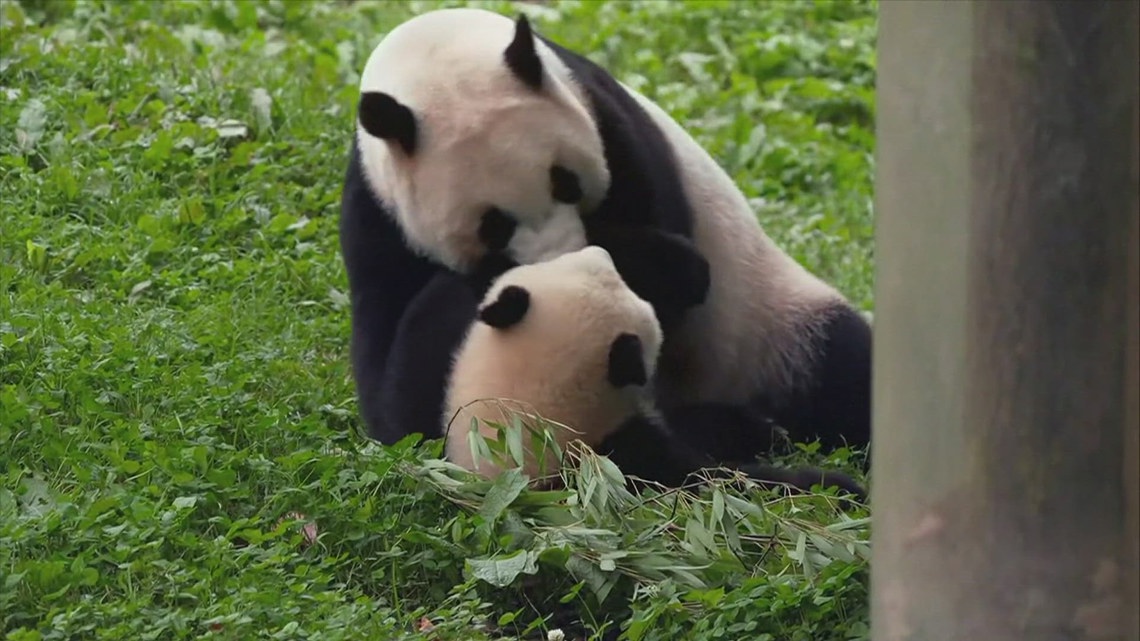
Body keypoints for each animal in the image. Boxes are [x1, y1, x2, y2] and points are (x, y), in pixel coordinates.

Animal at [339, 7, 872, 471]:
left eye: (566, 182)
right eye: (492, 225)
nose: (561, 259)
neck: (435, 46)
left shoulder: (612, 126)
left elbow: (681, 280)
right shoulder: (378, 211)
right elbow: (393, 378)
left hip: (769, 328)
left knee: (839, 368)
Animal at [443, 246, 865, 501]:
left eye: (578, 261)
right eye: (623, 284)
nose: (601, 248)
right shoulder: (629, 463)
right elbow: (723, 482)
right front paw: (837, 488)